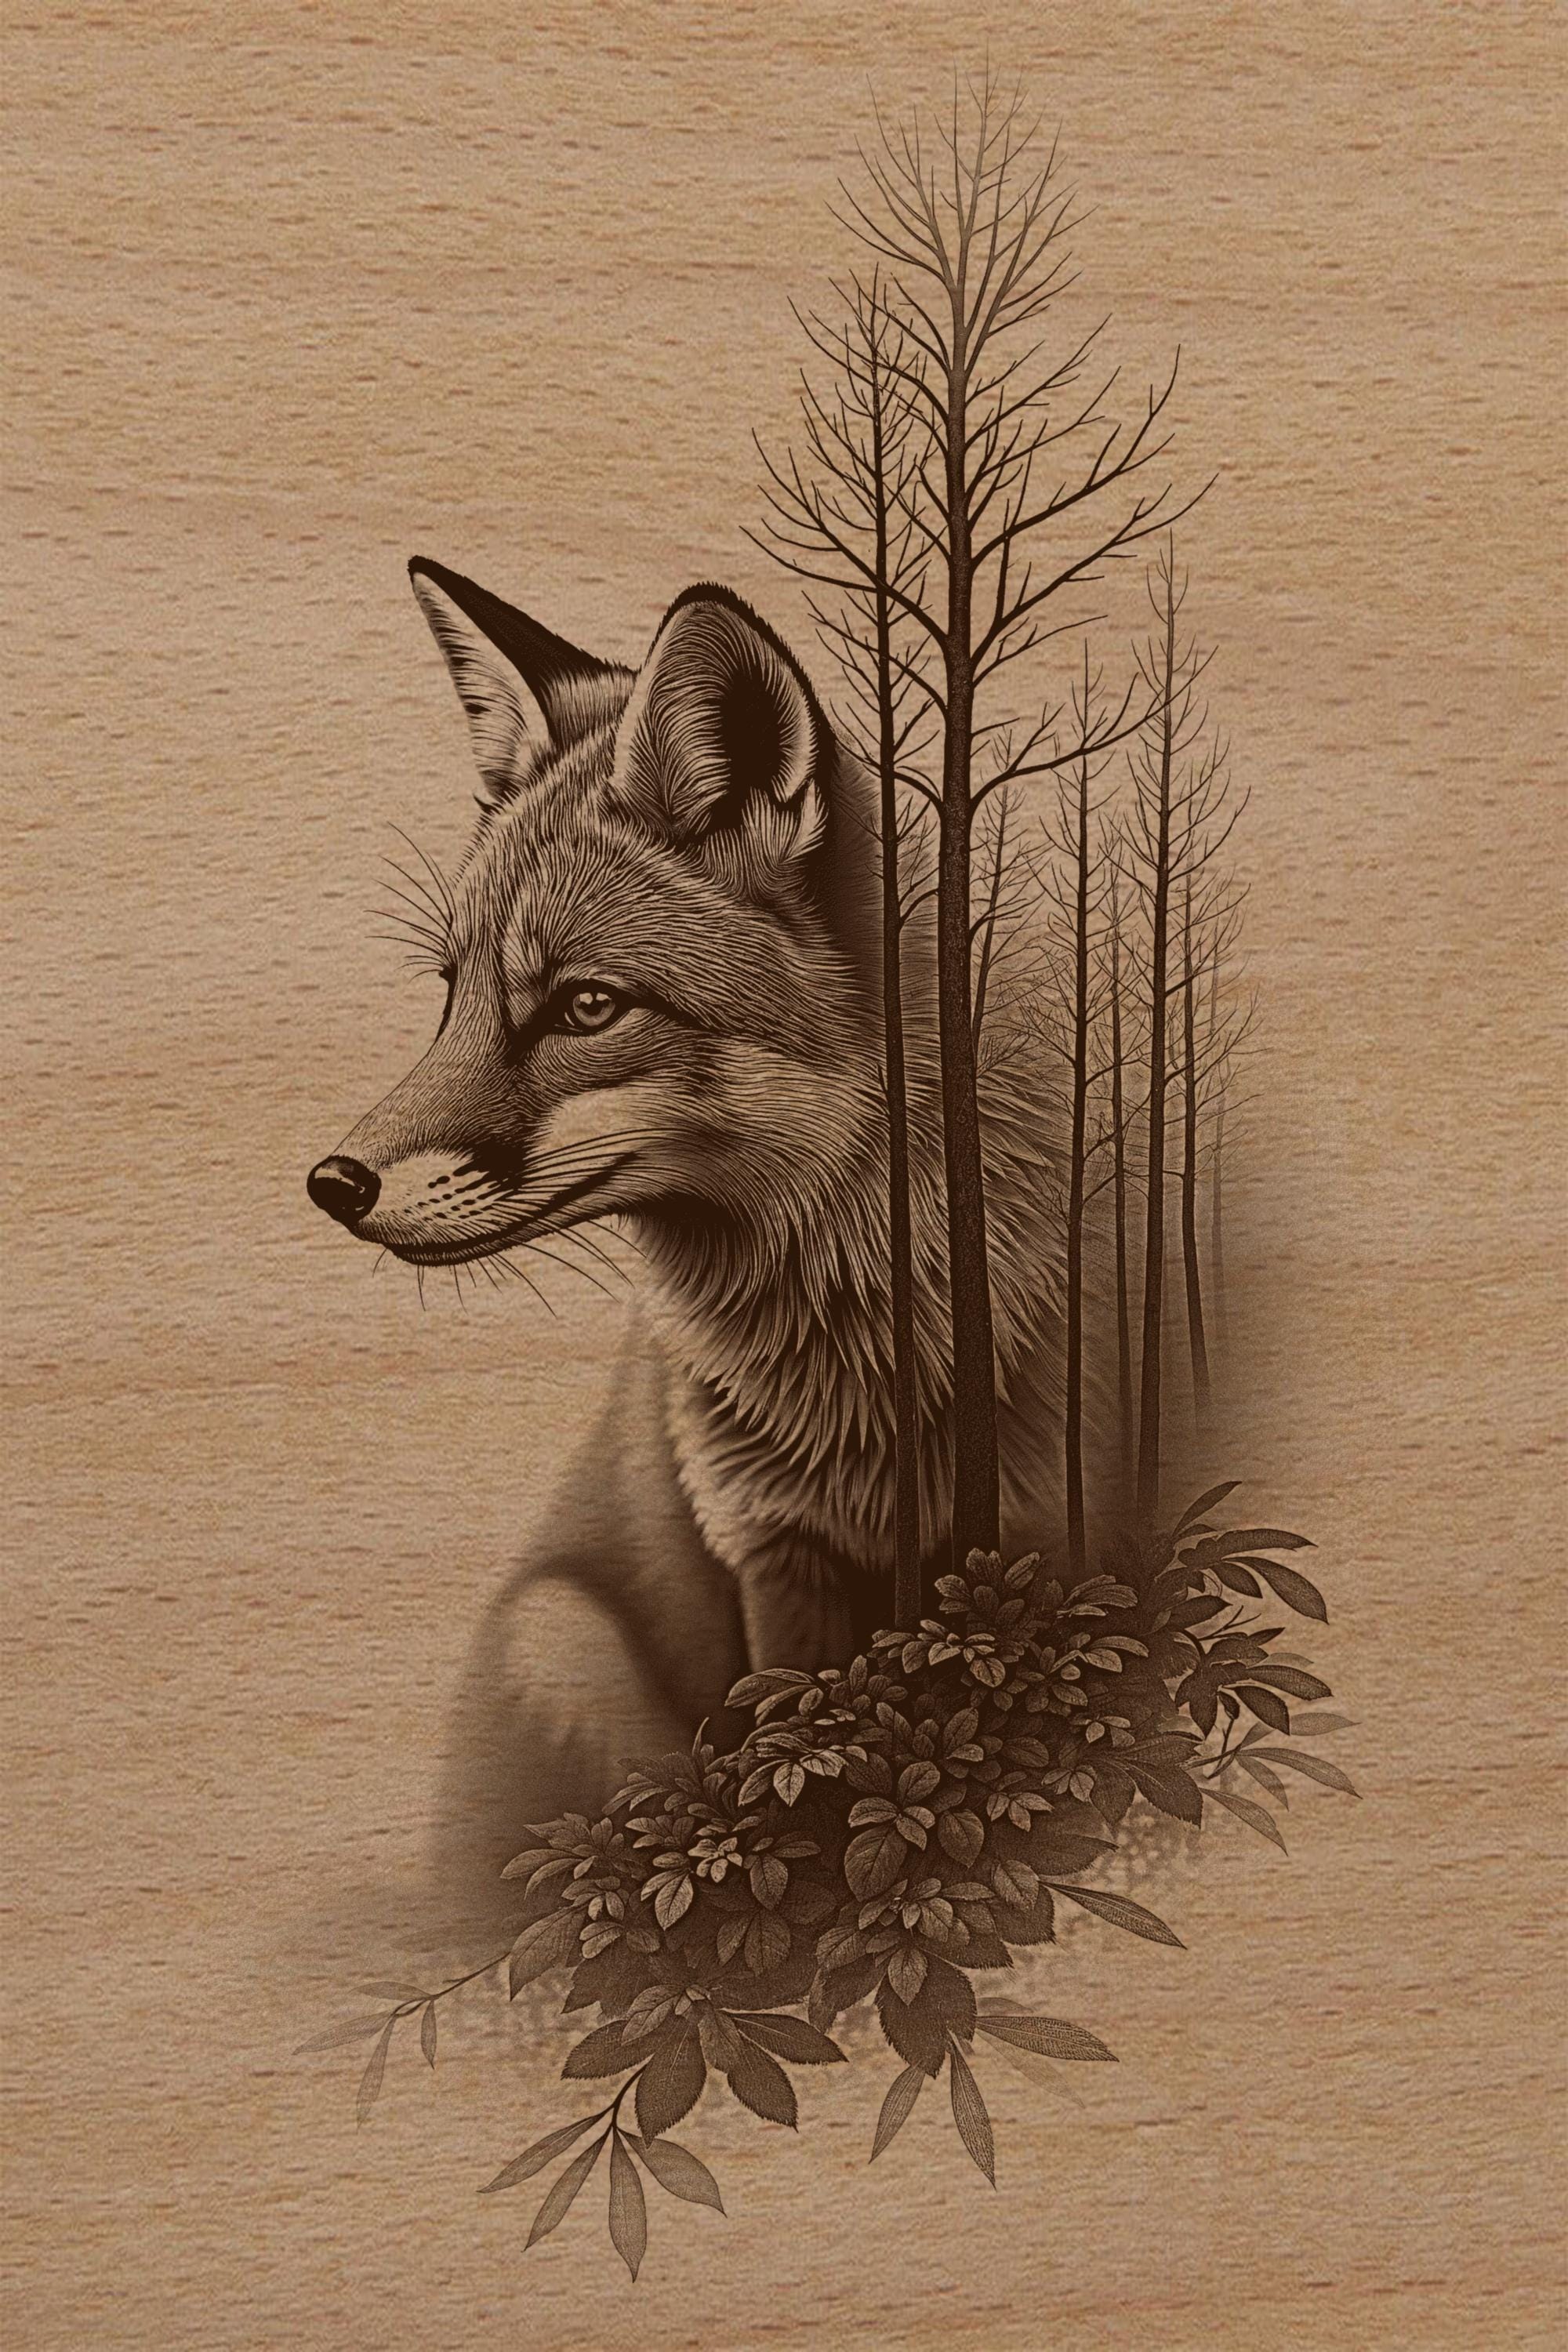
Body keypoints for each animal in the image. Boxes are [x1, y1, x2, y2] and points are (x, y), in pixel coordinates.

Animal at [308, 559, 1107, 1931]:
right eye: (451, 995)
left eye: (585, 1007)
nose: (331, 1183)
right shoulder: (773, 1548)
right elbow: (804, 1780)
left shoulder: (1049, 1529)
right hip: (560, 1638)